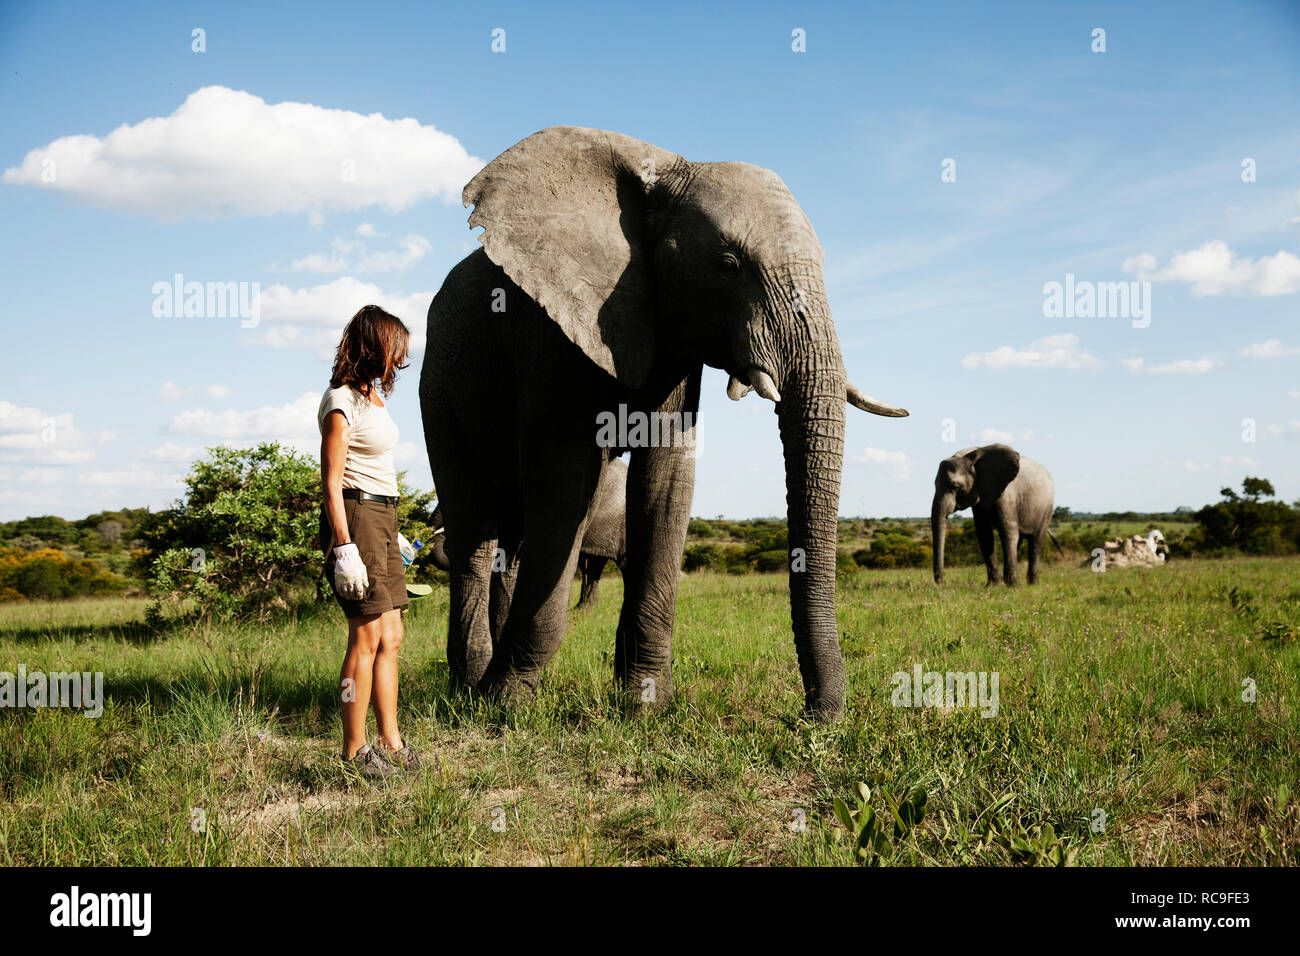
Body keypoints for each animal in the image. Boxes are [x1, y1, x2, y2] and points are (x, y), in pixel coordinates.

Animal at [931, 443, 1056, 587]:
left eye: (955, 486)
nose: (942, 583)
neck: (970, 457)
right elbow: (984, 533)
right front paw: (994, 586)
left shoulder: (1006, 493)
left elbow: (1008, 530)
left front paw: (1013, 587)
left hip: (1047, 507)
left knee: (1035, 541)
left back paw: (1033, 584)